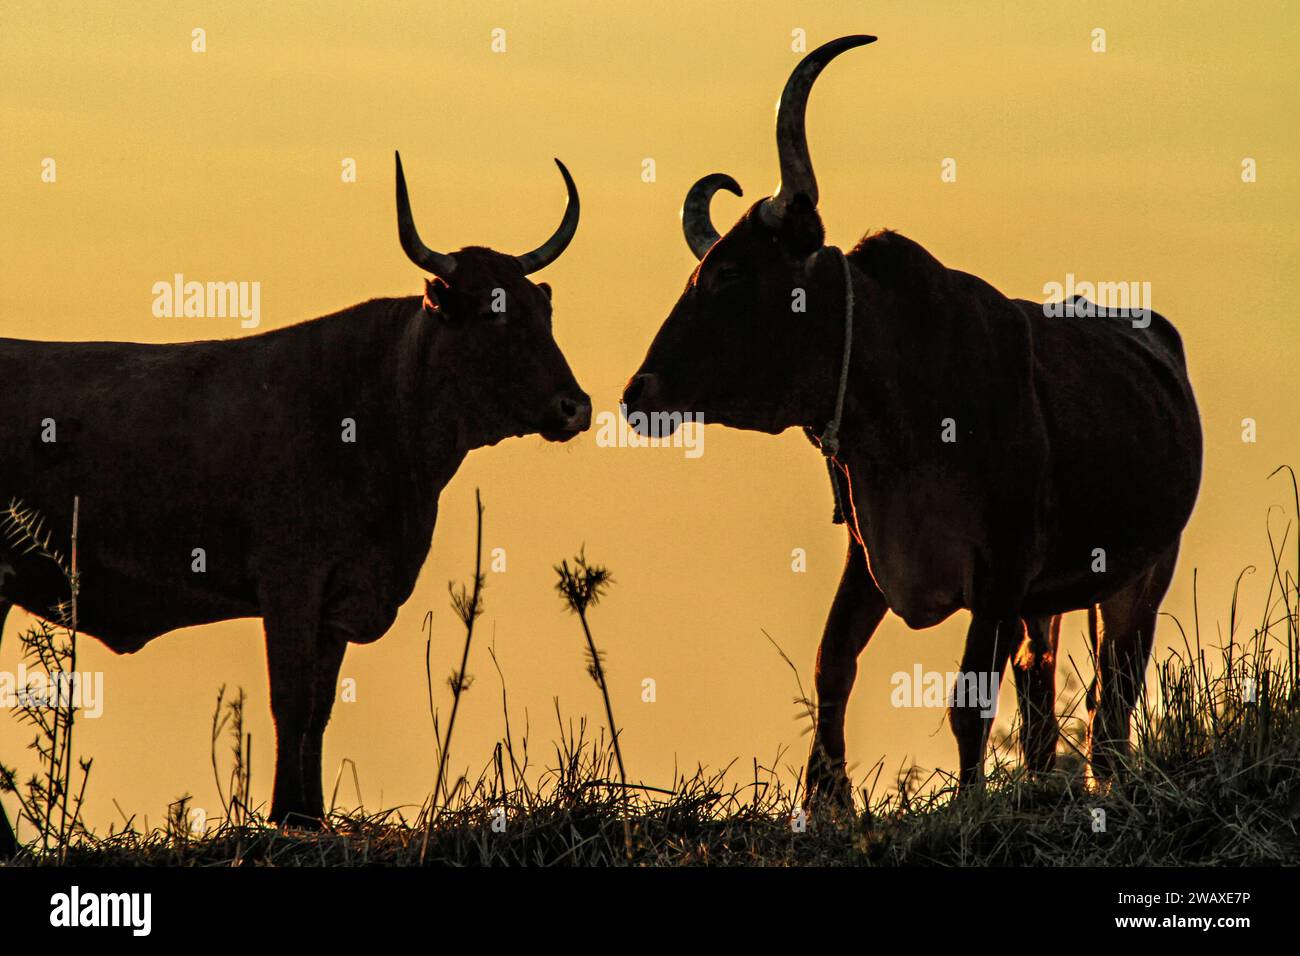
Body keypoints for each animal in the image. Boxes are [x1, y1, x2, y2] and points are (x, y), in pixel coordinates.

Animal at [0, 152, 591, 853]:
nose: (575, 406)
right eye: (492, 312)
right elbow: (291, 697)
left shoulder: (339, 593)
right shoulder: (290, 578)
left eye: (543, 312)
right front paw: (287, 816)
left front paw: (310, 817)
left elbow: (321, 704)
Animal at [622, 35, 1202, 810]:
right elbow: (832, 665)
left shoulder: (1000, 572)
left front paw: (967, 803)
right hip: (1049, 599)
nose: (638, 392)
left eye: (731, 275)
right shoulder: (870, 556)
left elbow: (968, 702)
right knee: (1042, 683)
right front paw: (826, 799)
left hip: (1143, 574)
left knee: (1113, 692)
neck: (904, 416)